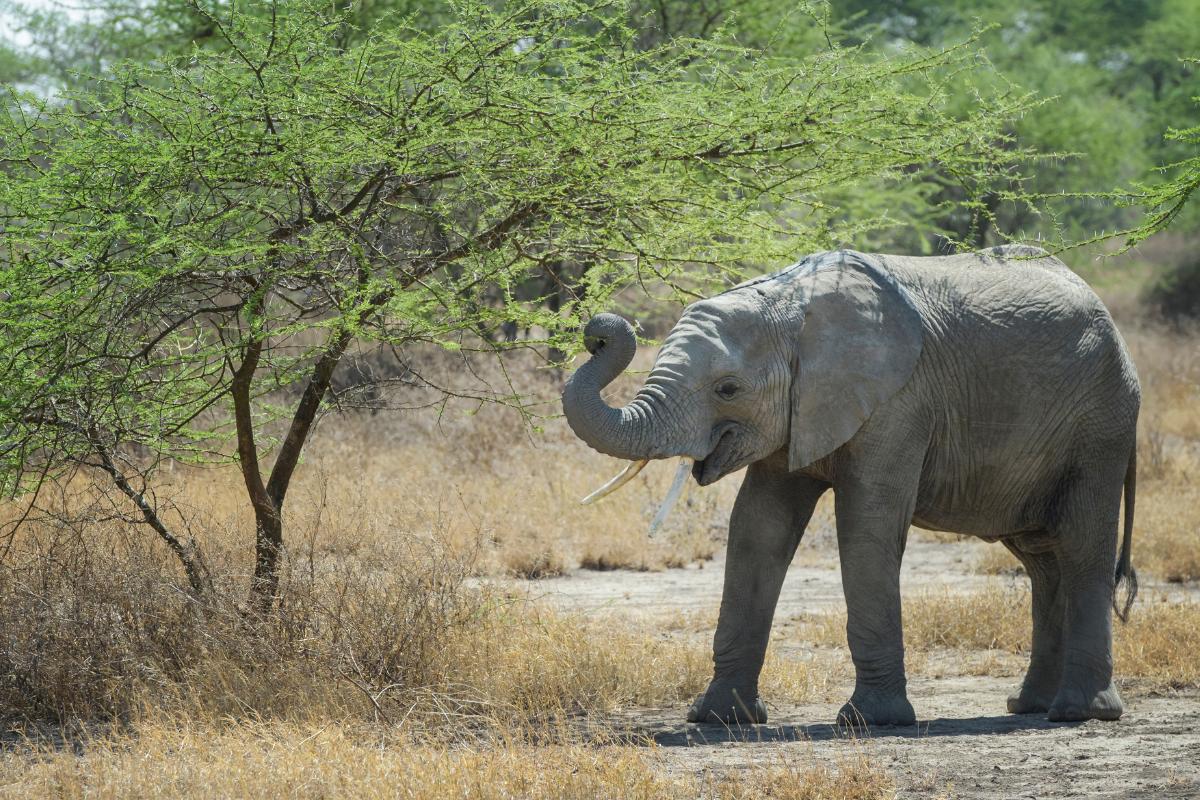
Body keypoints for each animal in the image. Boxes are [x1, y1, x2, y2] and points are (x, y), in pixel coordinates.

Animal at [561, 245, 1139, 727]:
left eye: (728, 389)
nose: (598, 332)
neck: (792, 310)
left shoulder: (899, 403)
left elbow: (866, 527)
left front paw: (870, 721)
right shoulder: (800, 409)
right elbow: (757, 530)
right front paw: (719, 719)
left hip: (1100, 425)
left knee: (1082, 547)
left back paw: (1078, 713)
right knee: (1043, 559)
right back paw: (1029, 706)